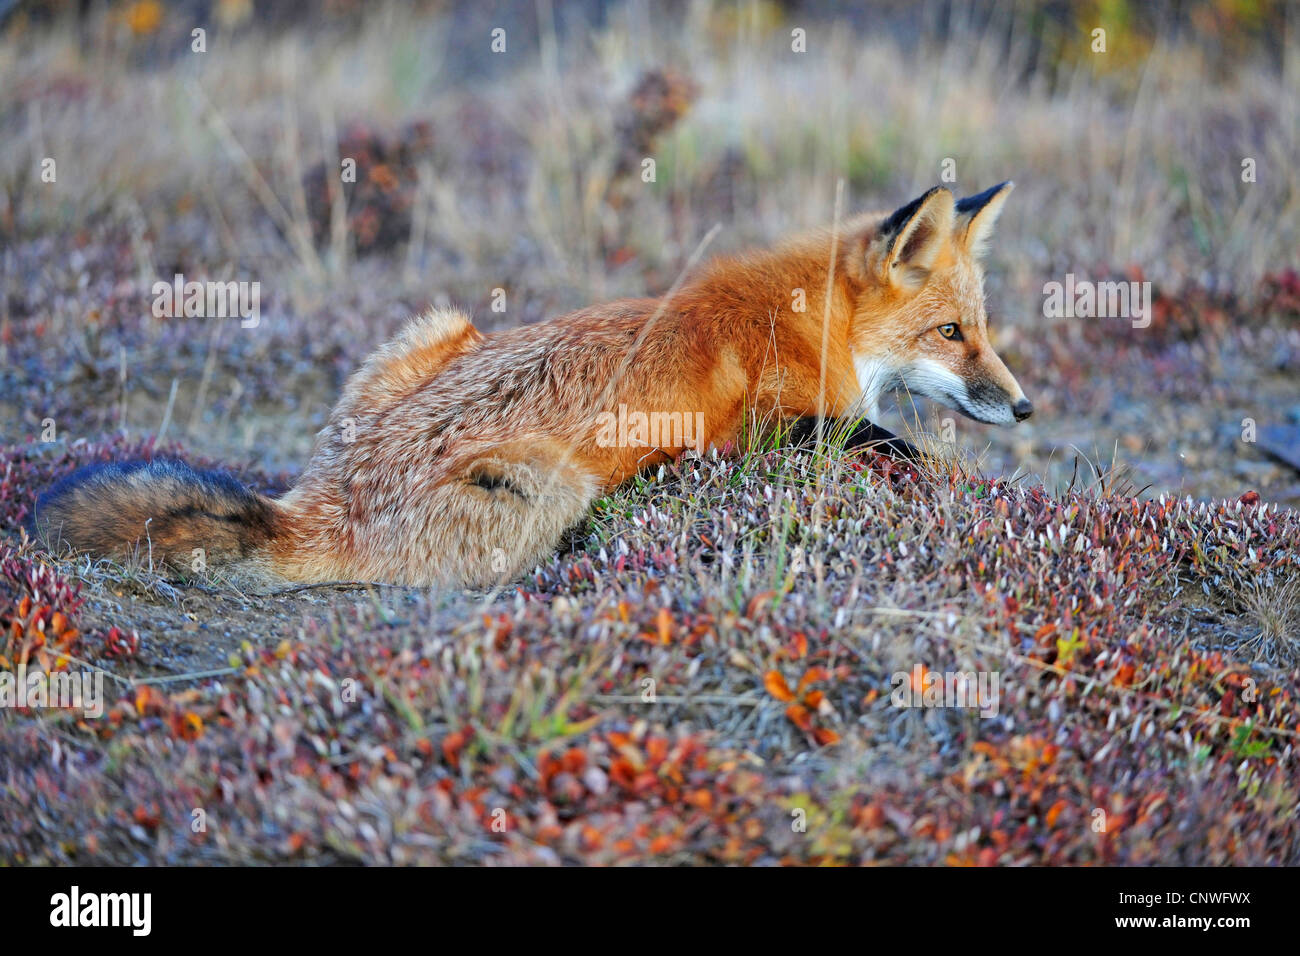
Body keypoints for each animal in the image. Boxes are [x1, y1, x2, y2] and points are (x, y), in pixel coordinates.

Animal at [33, 182, 1032, 590]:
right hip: (553, 482)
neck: (809, 319)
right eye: (953, 334)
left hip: (433, 328)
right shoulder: (764, 431)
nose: (1023, 405)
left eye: (982, 330)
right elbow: (890, 443)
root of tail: (316, 504)